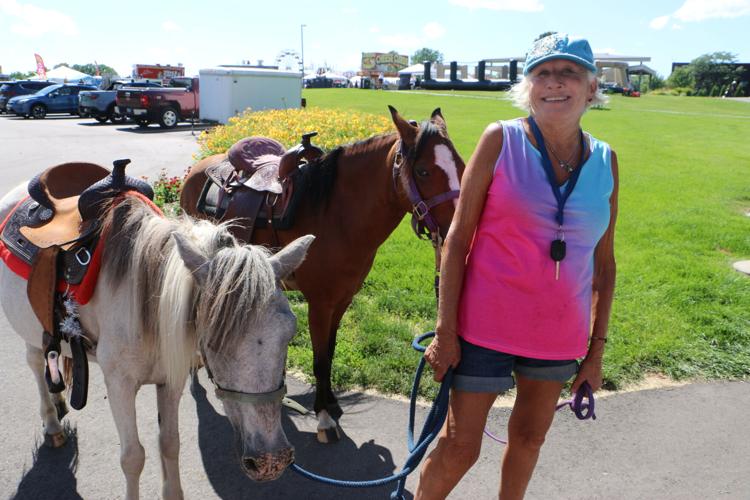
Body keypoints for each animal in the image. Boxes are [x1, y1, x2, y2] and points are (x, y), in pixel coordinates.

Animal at [0, 180, 314, 499]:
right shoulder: (120, 387)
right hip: (28, 330)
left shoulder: (170, 380)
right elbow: (133, 457)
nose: (271, 461)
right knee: (35, 361)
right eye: (212, 341)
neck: (144, 305)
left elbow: (170, 443)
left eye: (290, 333)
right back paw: (52, 421)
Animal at [180, 106, 465, 442]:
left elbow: (329, 353)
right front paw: (324, 417)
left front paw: (330, 403)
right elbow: (318, 359)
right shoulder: (319, 303)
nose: (458, 229)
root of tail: (198, 168)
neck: (336, 215)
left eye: (461, 165)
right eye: (423, 171)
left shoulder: (342, 300)